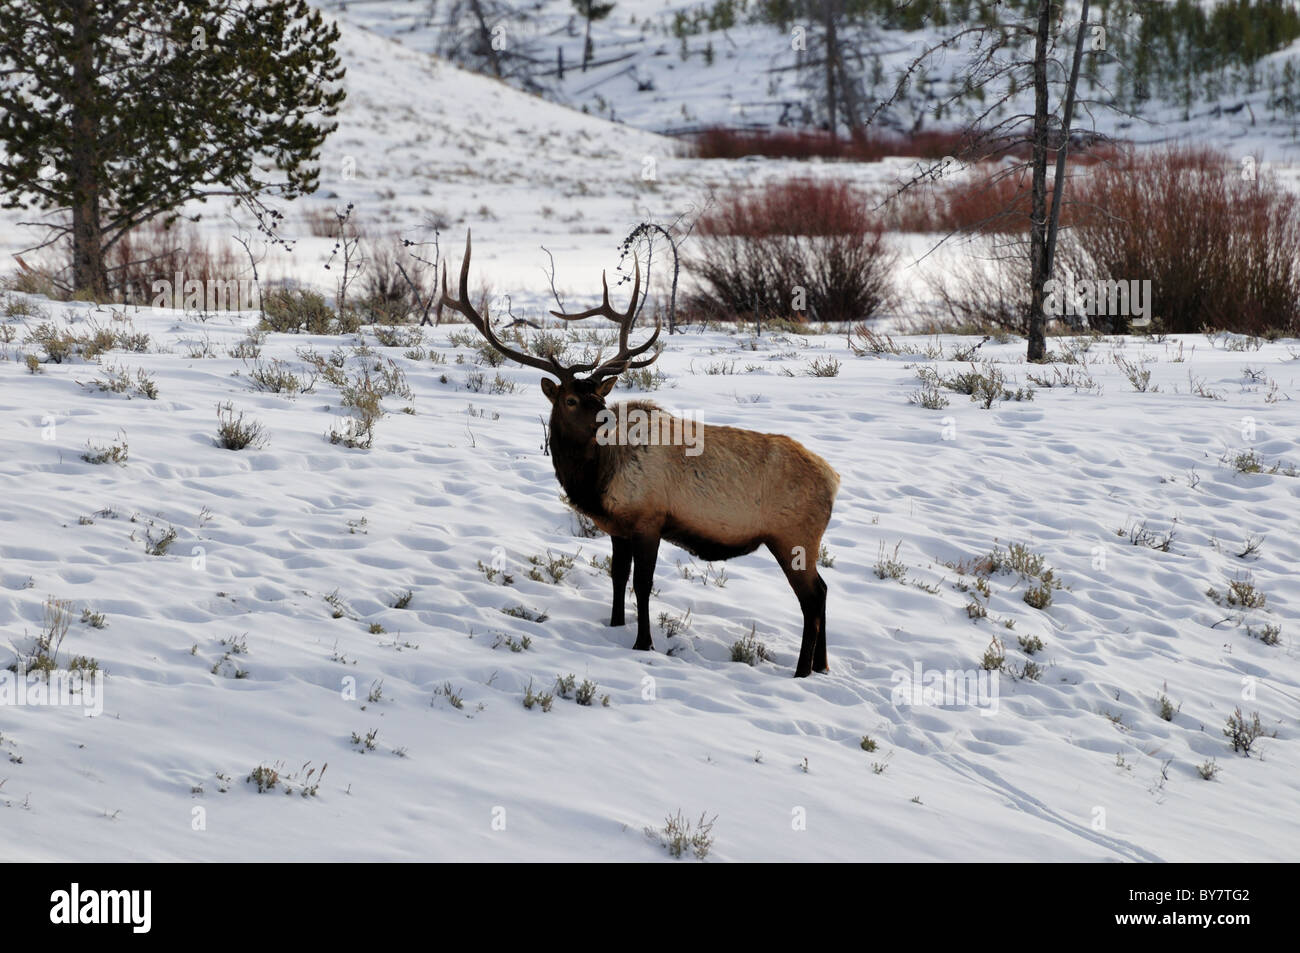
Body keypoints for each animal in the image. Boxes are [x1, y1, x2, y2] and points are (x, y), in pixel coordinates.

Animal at [440, 233, 840, 677]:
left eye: (600, 397)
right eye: (572, 399)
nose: (602, 418)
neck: (596, 479)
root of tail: (833, 480)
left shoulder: (650, 519)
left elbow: (643, 584)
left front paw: (643, 642)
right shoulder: (618, 527)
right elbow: (617, 576)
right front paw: (615, 625)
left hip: (793, 535)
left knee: (811, 599)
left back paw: (802, 670)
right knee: (823, 591)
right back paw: (822, 665)